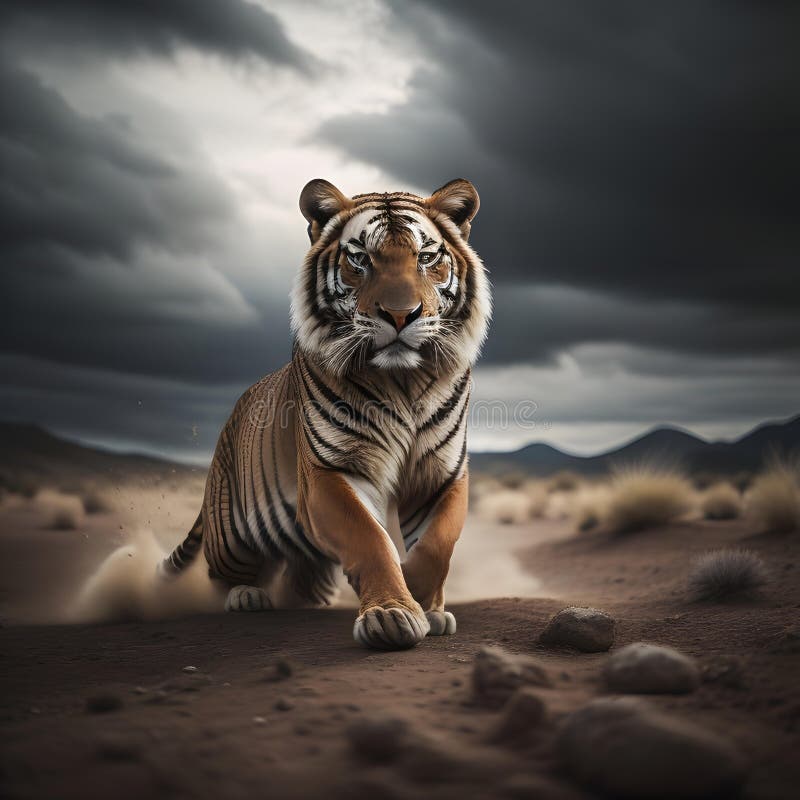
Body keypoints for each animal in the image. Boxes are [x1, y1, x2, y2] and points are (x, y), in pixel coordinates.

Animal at [160, 178, 491, 650]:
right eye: (361, 259)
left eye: (426, 258)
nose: (400, 315)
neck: (403, 381)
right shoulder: (331, 470)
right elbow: (370, 538)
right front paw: (392, 614)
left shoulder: (440, 474)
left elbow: (436, 546)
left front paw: (427, 606)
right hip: (230, 533)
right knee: (221, 573)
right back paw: (246, 596)